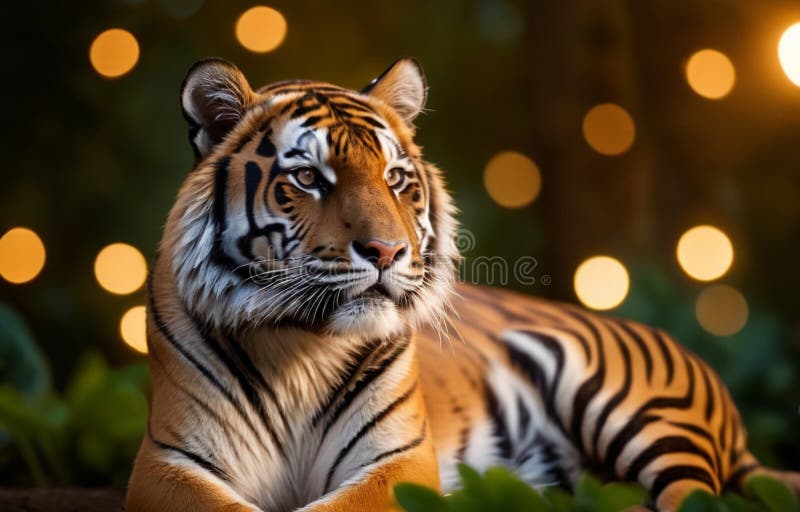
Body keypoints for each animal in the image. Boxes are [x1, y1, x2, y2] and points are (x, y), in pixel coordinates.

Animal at [126, 57, 800, 512]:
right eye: (310, 178)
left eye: (396, 178)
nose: (386, 251)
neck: (300, 347)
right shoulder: (170, 461)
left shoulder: (399, 457)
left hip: (638, 403)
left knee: (696, 495)